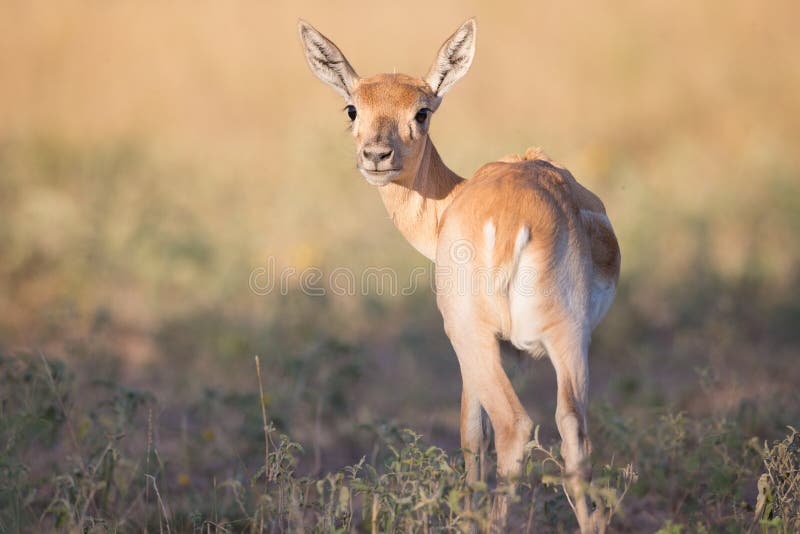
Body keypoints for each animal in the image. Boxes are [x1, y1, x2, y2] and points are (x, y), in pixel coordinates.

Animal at [298, 18, 620, 533]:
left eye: (422, 111)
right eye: (352, 107)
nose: (377, 155)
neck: (448, 203)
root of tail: (516, 221)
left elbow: (472, 433)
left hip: (473, 336)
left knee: (513, 426)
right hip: (568, 337)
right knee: (572, 427)